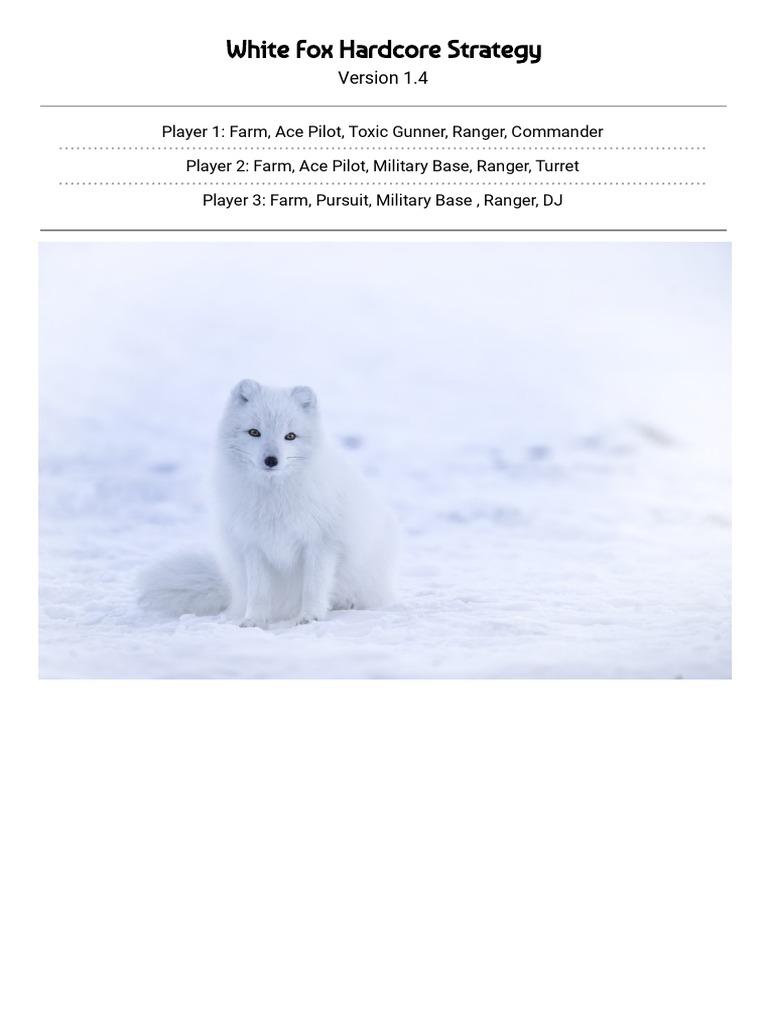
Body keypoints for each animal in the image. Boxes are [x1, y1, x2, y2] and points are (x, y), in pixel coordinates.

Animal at [139, 380, 399, 627]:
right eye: (254, 432)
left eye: (290, 436)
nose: (271, 460)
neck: (274, 498)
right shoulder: (254, 545)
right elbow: (259, 592)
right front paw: (254, 621)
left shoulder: (321, 543)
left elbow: (314, 587)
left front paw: (310, 617)